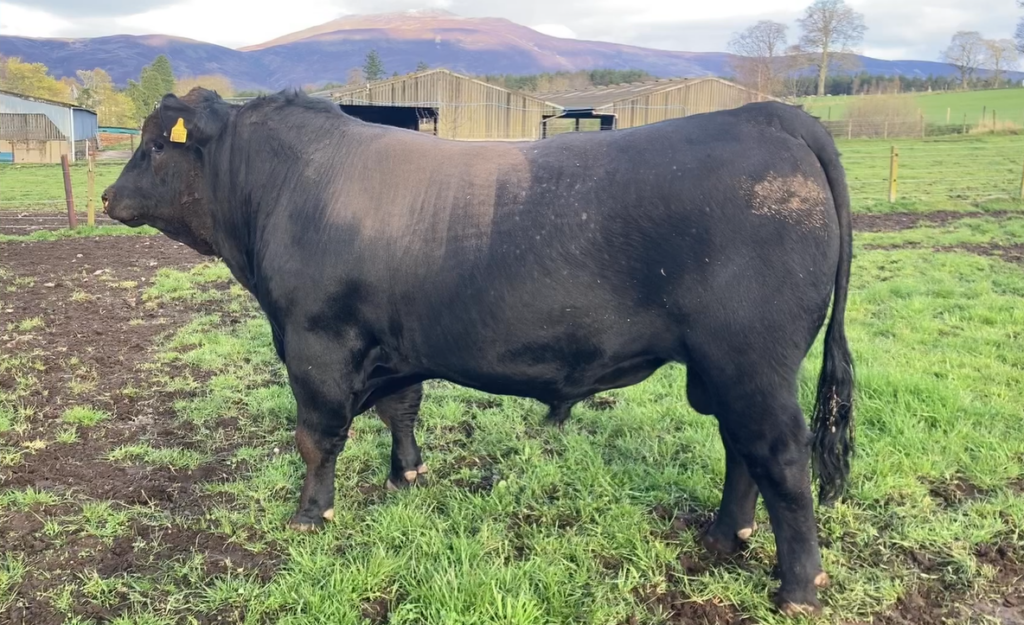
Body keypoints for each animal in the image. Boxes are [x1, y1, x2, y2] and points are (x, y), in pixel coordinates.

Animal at [102, 87, 854, 615]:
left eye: (154, 146)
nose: (108, 196)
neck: (282, 190)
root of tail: (768, 116)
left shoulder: (315, 341)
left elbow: (316, 437)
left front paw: (310, 513)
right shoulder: (396, 346)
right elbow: (401, 409)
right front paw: (407, 473)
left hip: (751, 362)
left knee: (780, 458)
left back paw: (798, 587)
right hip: (725, 369)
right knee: (740, 448)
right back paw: (724, 535)